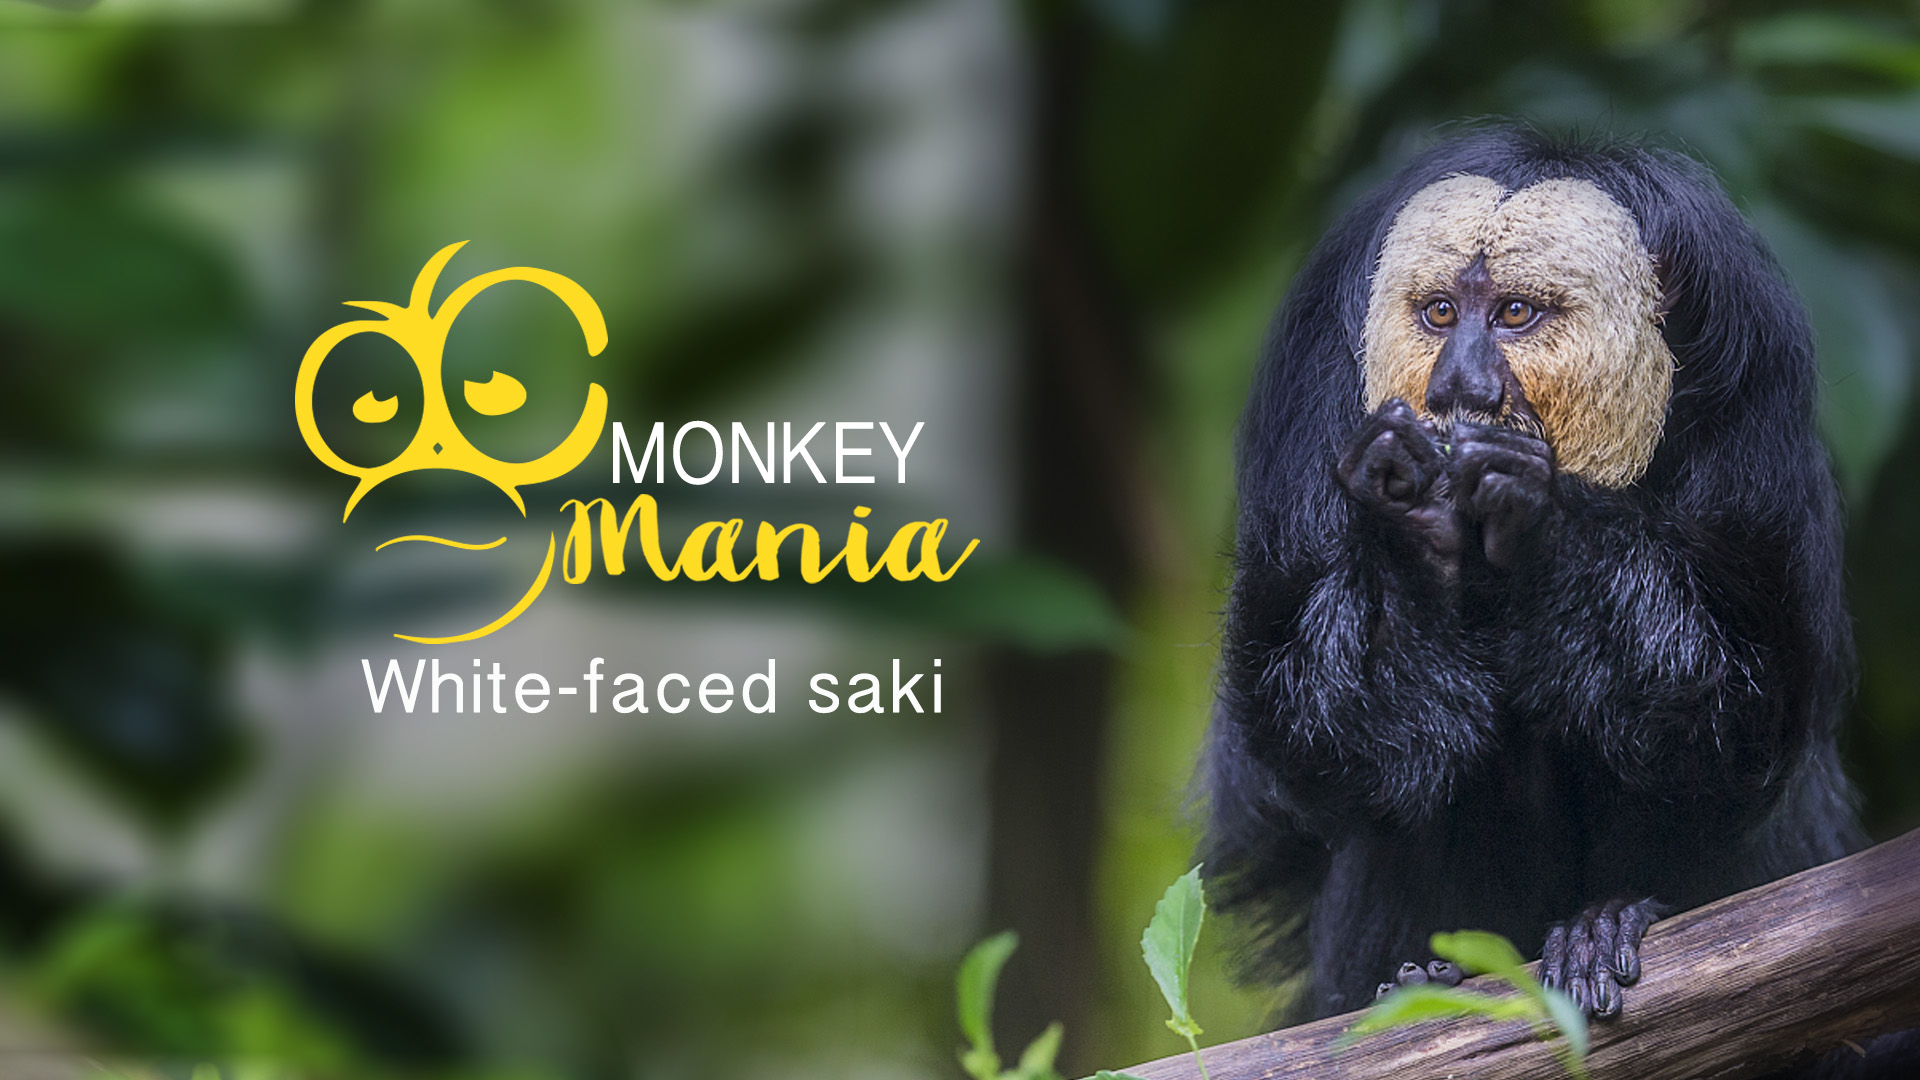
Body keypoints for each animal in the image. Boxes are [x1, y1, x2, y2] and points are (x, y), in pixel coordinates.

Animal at [1199, 128, 1910, 1070]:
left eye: (1514, 315)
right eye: (1438, 314)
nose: (1461, 389)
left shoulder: (1753, 391)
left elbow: (1731, 727)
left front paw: (1530, 512)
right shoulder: (1310, 398)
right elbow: (1326, 735)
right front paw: (1411, 520)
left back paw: (1605, 925)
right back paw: (1424, 976)